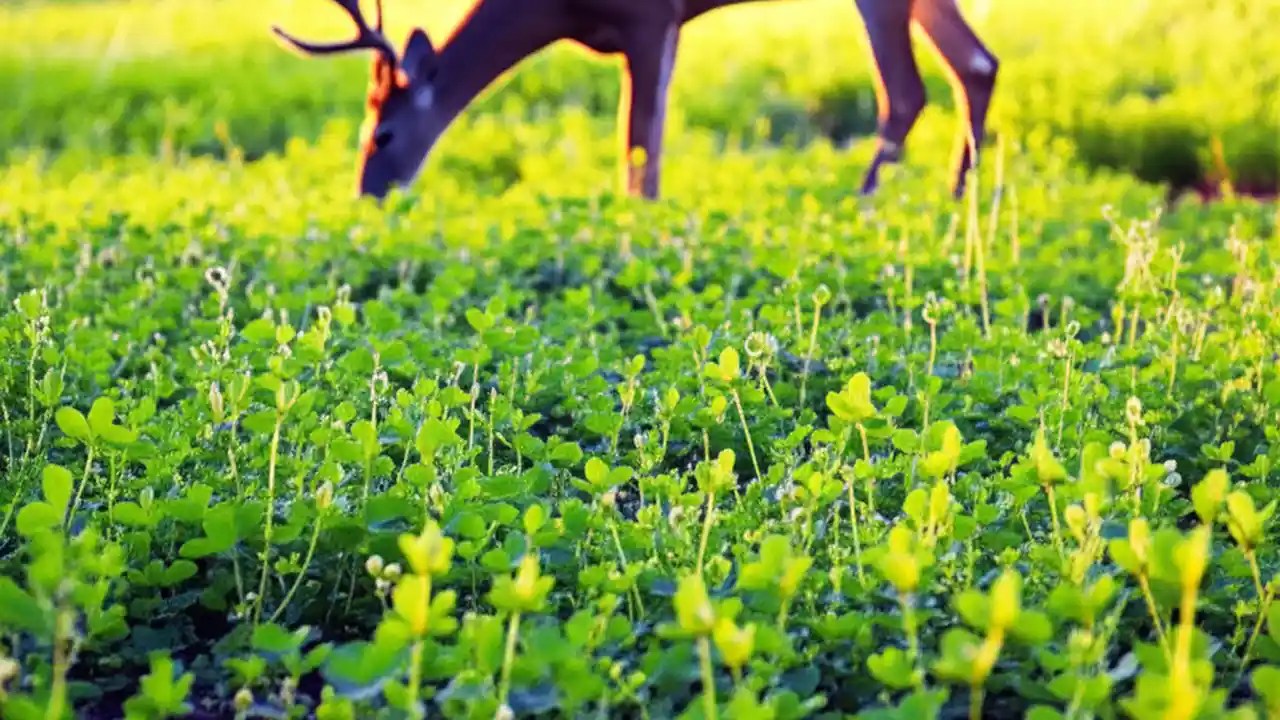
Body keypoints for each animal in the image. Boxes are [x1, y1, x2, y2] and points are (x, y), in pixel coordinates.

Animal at [270, 0, 998, 202]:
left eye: (382, 135)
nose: (367, 193)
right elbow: (641, 147)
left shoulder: (651, 18)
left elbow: (639, 149)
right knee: (977, 63)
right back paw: (959, 198)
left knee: (905, 91)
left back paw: (863, 203)